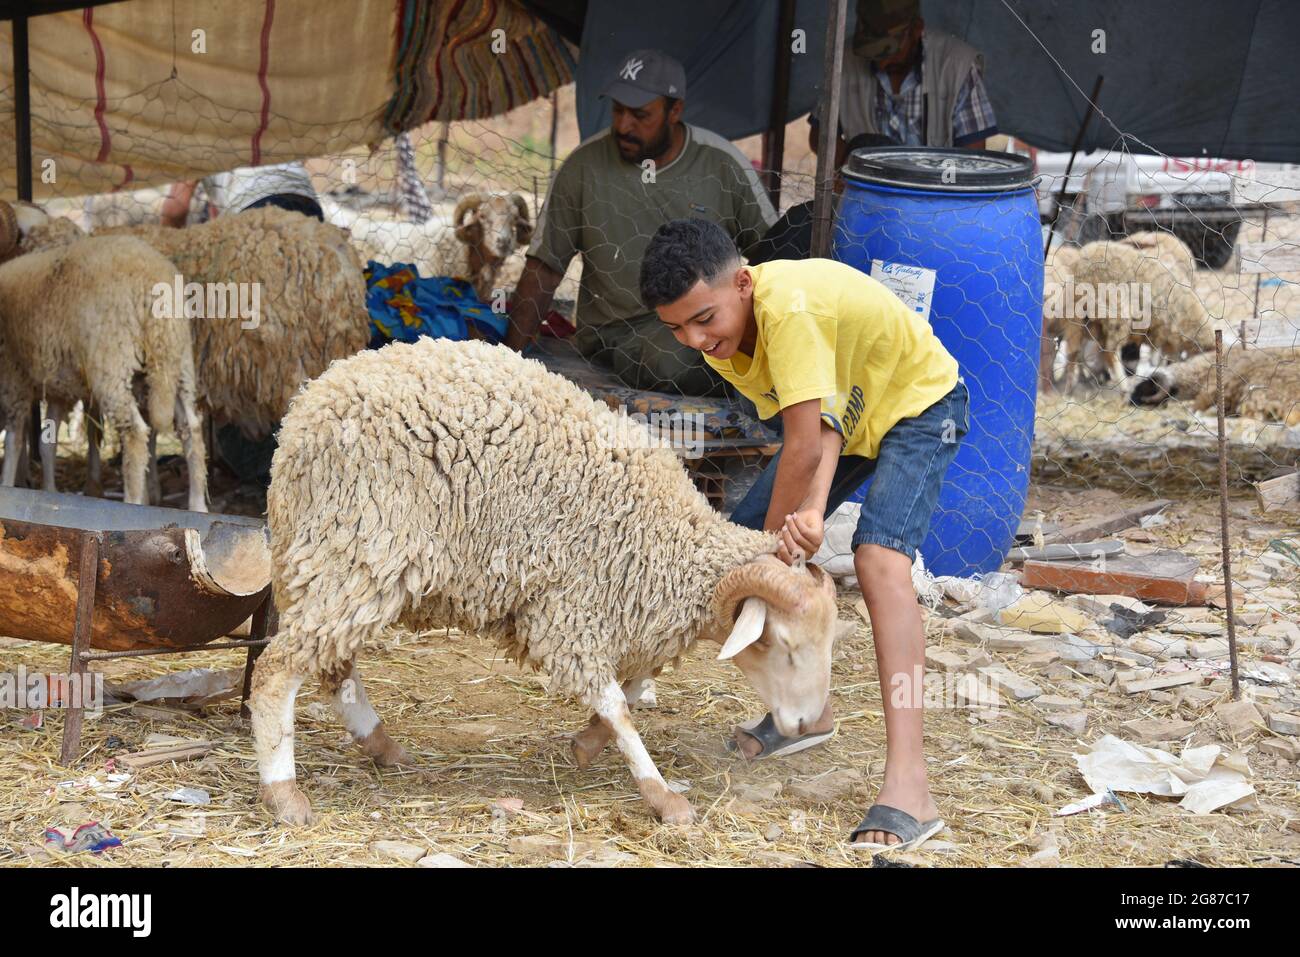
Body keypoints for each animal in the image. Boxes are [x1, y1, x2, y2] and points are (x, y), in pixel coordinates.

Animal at [0, 220, 206, 510]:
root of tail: (151, 277)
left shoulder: (13, 376)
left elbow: (13, 442)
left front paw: (8, 486)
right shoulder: (59, 389)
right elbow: (46, 444)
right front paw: (49, 491)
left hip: (112, 362)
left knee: (134, 433)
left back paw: (134, 501)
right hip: (178, 361)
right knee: (191, 429)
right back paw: (198, 505)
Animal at [250, 337, 846, 827]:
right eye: (782, 644)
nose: (806, 724)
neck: (667, 541)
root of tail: (302, 415)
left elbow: (632, 687)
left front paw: (587, 744)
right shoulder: (568, 610)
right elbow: (619, 703)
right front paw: (662, 796)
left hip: (340, 563)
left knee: (334, 666)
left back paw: (382, 748)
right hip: (358, 550)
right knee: (276, 672)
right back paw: (285, 794)